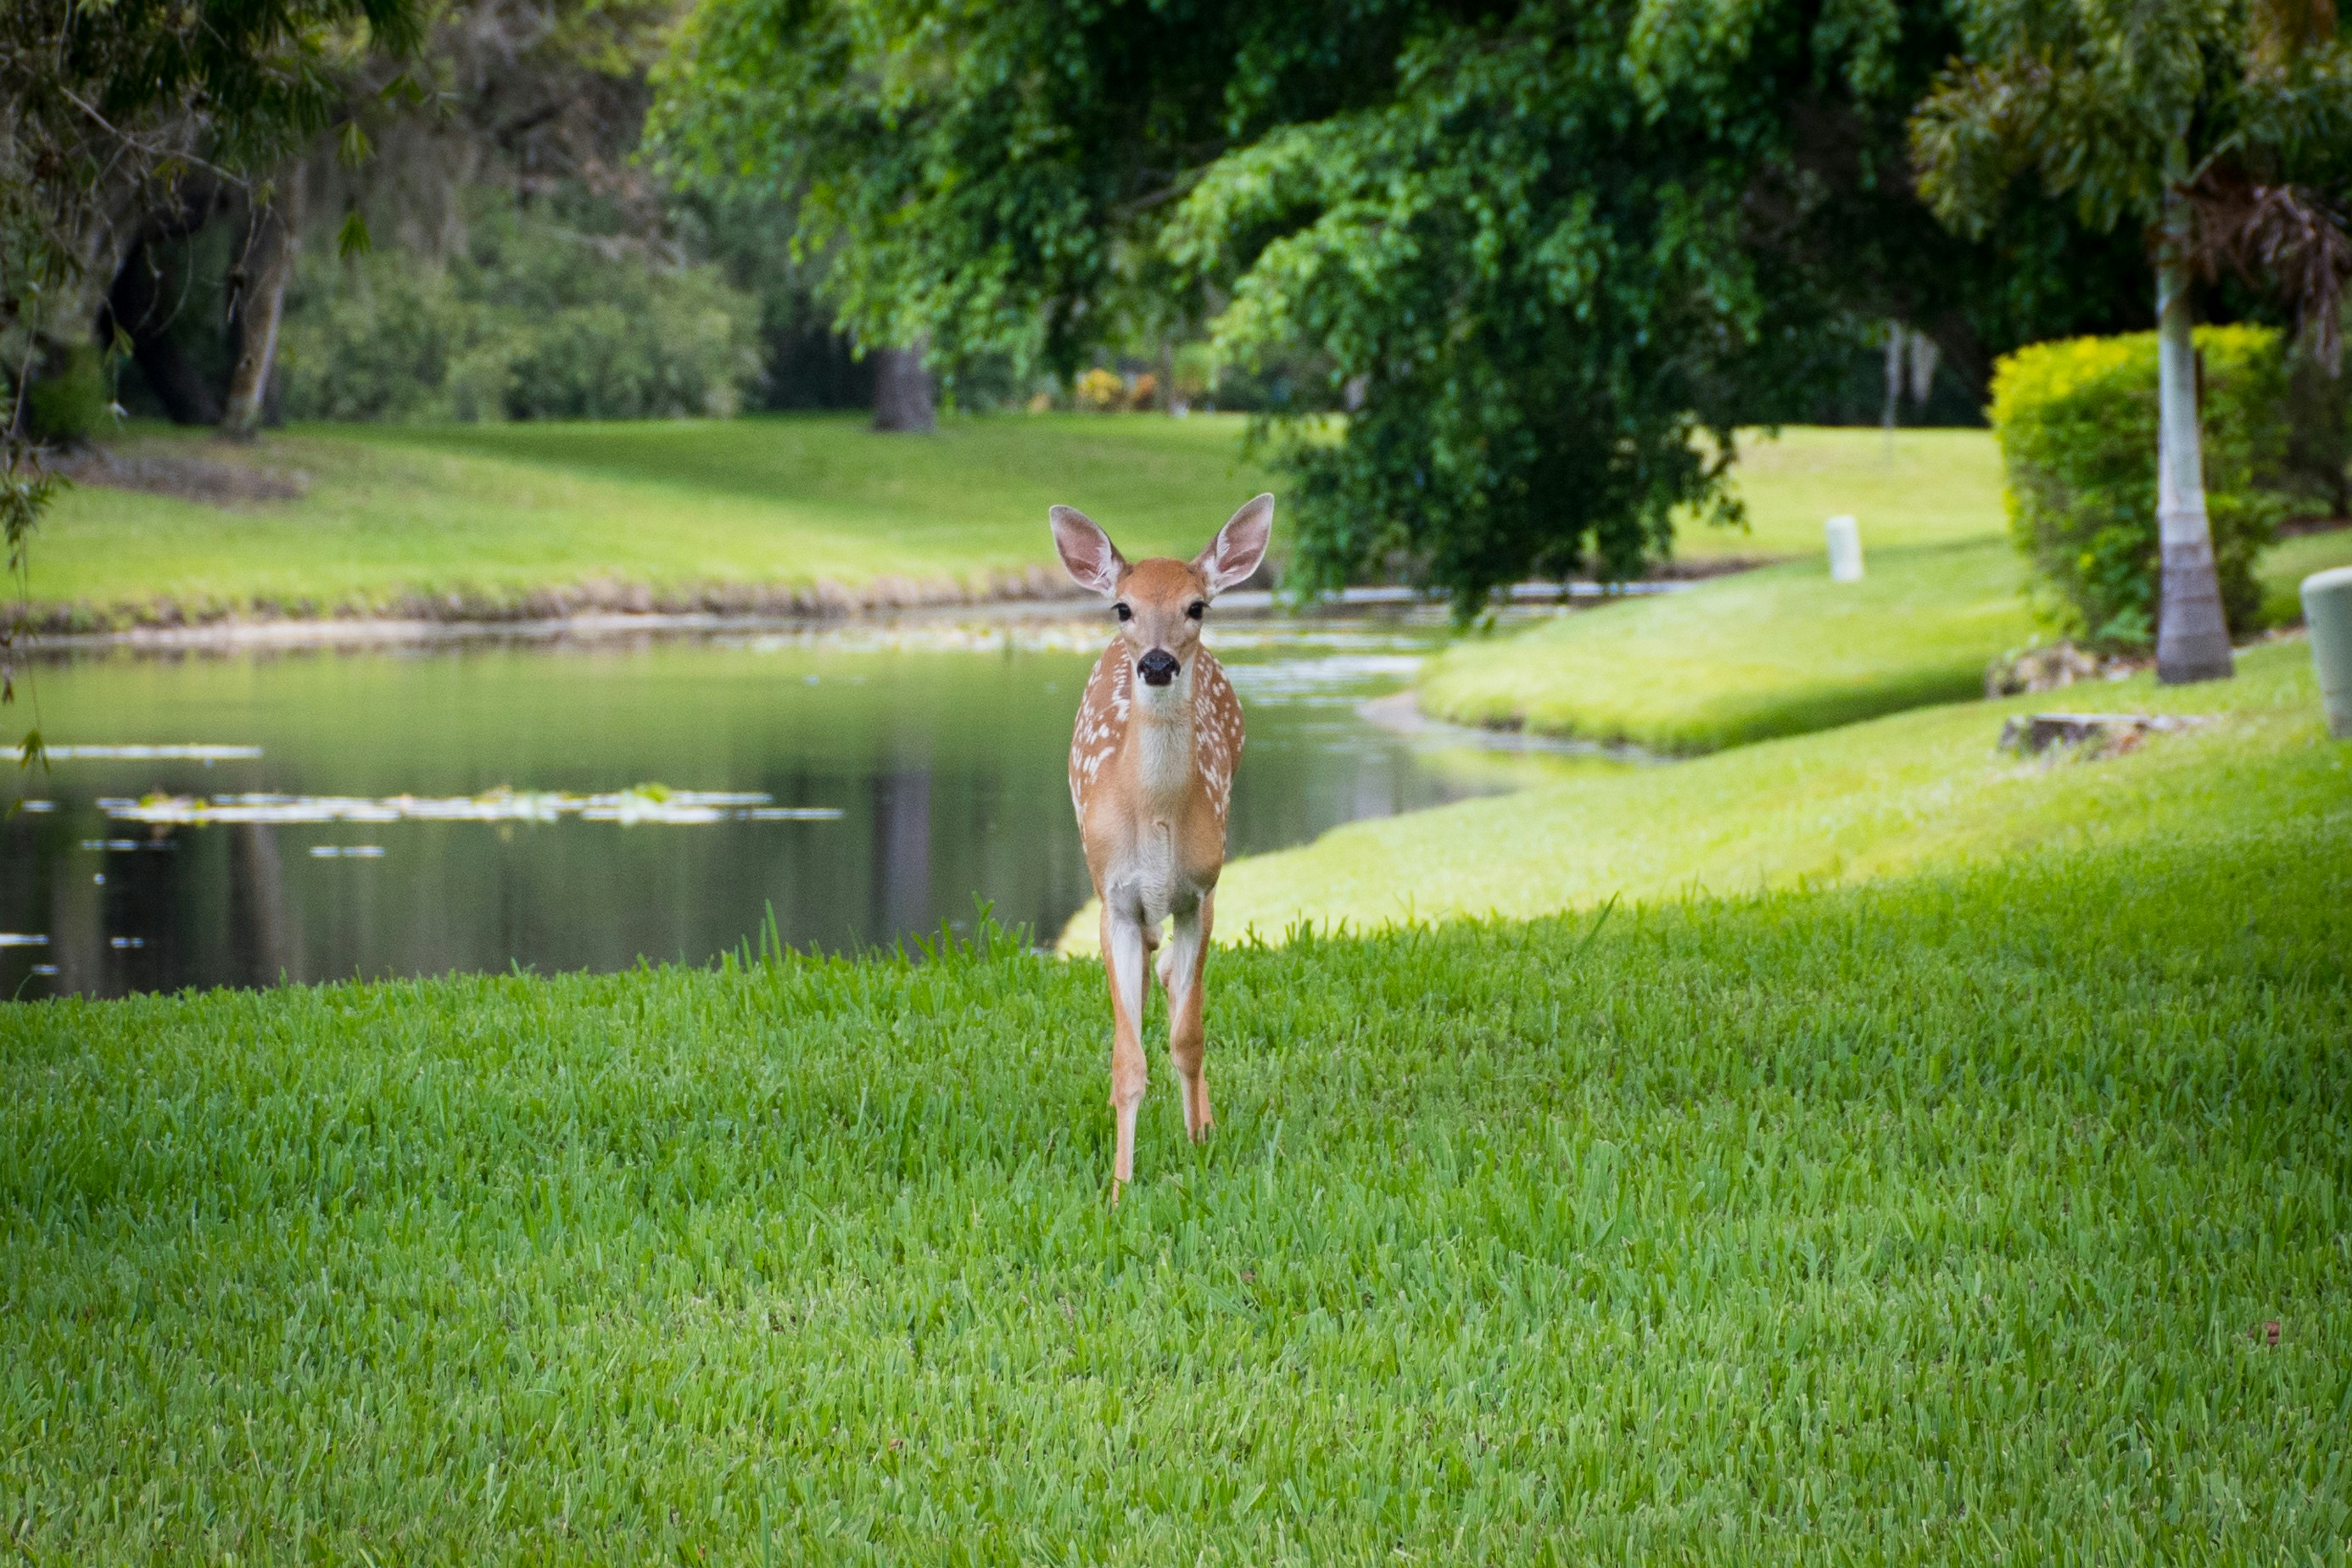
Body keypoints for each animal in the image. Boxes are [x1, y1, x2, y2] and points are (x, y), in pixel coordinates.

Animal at [1051, 493, 1274, 1202]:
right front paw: (1119, 1187)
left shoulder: (1200, 892)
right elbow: (1127, 1058)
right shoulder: (1113, 902)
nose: (1154, 662)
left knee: (1174, 980)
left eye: (1196, 605)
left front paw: (1197, 1143)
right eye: (1122, 607)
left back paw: (1203, 1123)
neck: (1152, 820)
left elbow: (1189, 1036)